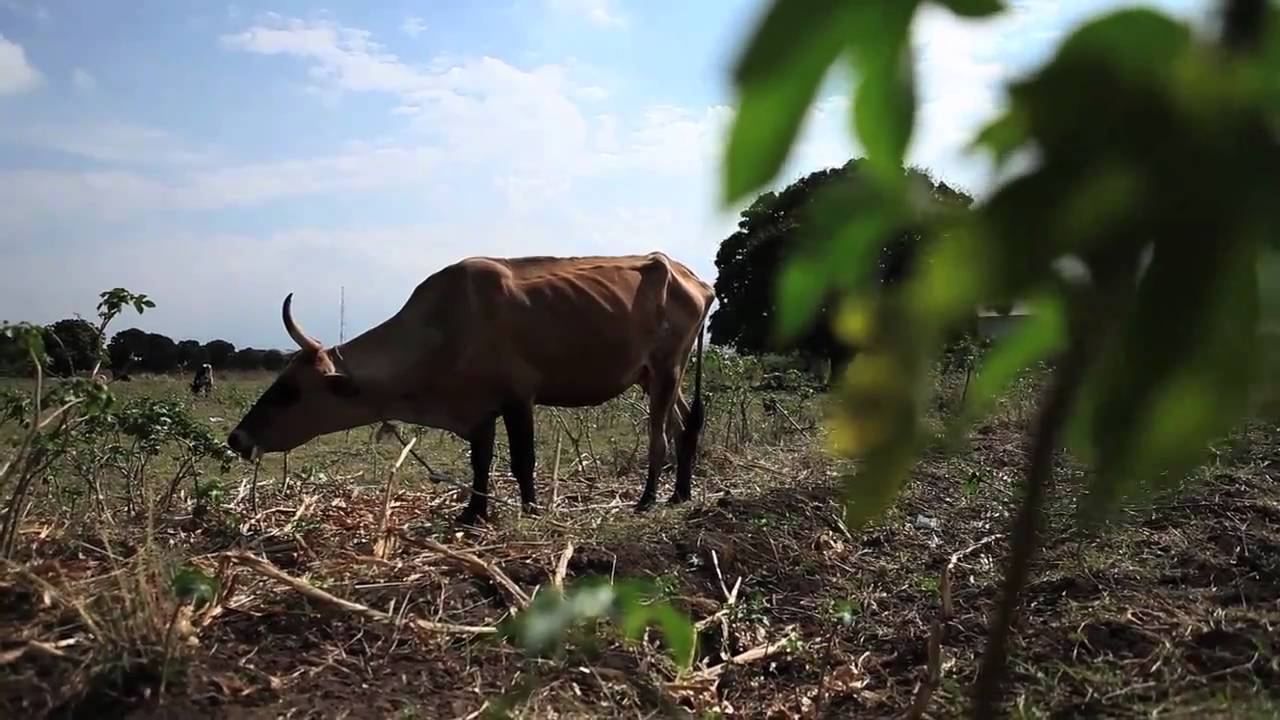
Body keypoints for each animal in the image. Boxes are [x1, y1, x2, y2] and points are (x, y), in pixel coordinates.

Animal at [225, 252, 716, 525]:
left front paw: (530, 509)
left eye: (290, 390)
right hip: (654, 376)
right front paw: (472, 513)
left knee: (659, 436)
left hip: (667, 367)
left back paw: (648, 498)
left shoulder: (518, 398)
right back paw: (681, 493)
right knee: (686, 424)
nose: (236, 438)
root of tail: (693, 279)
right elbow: (480, 463)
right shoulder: (479, 410)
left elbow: (521, 461)